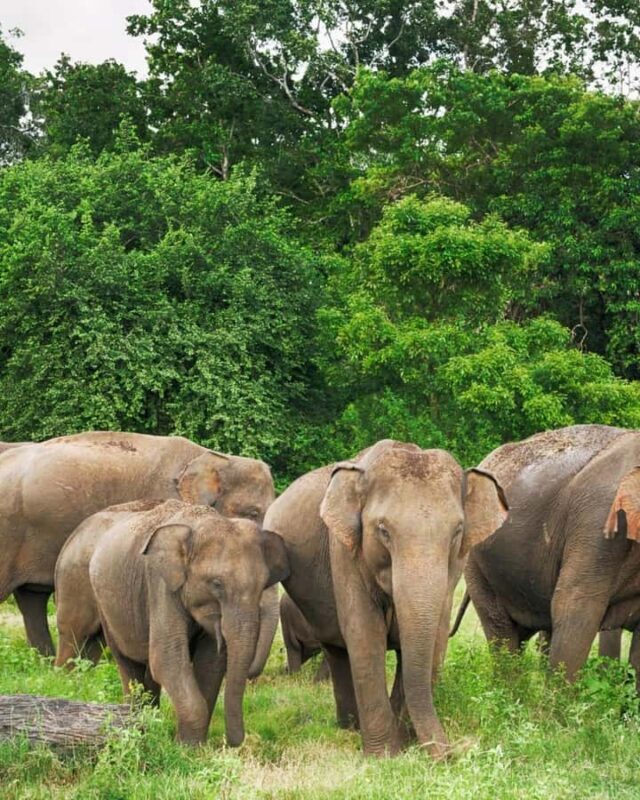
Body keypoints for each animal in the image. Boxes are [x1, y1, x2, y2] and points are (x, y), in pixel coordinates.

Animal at [86, 499, 289, 745]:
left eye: (262, 585)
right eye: (217, 584)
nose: (233, 742)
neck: (199, 523)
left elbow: (211, 663)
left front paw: (193, 745)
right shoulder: (160, 583)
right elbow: (167, 658)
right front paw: (187, 748)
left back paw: (151, 724)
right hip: (105, 607)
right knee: (128, 665)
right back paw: (137, 728)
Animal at [263, 439, 508, 757]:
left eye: (457, 532)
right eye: (382, 530)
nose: (449, 754)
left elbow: (435, 637)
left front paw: (404, 743)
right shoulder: (345, 553)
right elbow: (366, 636)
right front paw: (384, 755)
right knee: (338, 650)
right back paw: (350, 727)